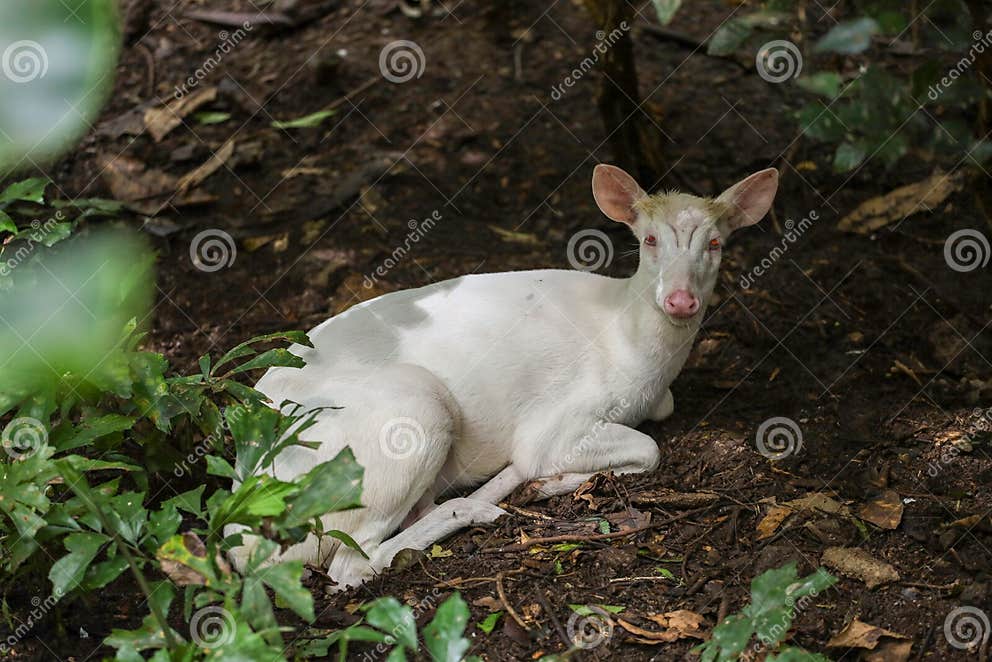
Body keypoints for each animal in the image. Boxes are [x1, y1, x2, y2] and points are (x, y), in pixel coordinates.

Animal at [226, 164, 779, 590]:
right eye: (648, 240)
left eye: (715, 243)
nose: (680, 300)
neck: (635, 349)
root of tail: (245, 539)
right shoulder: (558, 420)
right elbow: (643, 450)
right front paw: (549, 482)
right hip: (406, 419)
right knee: (350, 566)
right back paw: (479, 508)